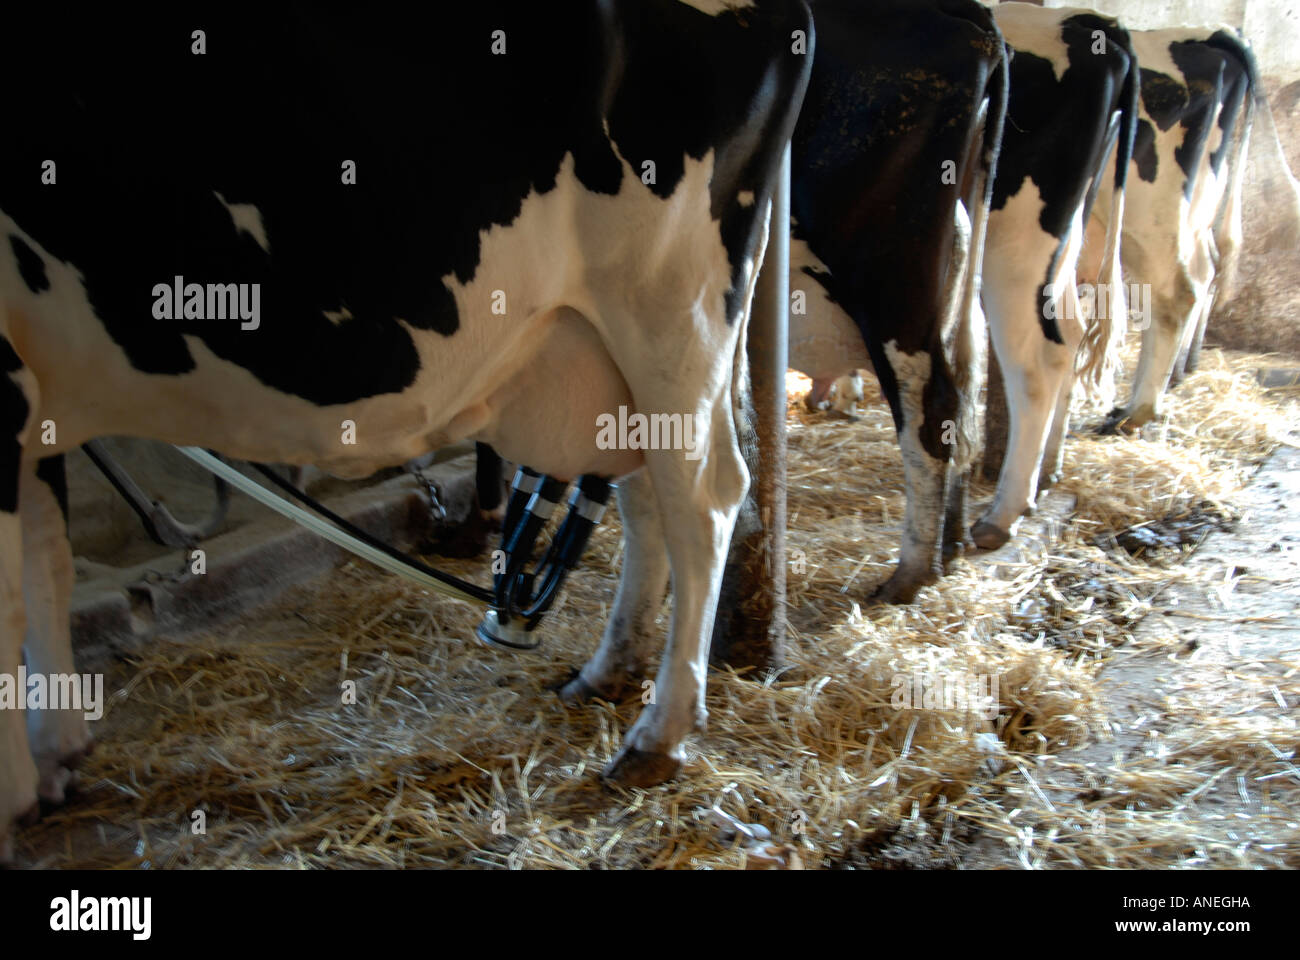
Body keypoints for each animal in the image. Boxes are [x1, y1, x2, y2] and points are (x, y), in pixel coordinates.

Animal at [0, 1, 814, 858]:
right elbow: (48, 562)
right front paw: (53, 758)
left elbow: (12, 592)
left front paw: (16, 788)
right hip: (618, 348)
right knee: (643, 494)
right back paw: (609, 671)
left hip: (670, 309)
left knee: (704, 504)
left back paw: (660, 735)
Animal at [970, 2, 1139, 549]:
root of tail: (1082, 23)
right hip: (1062, 240)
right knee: (1070, 330)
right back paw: (1046, 473)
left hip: (1013, 240)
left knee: (1038, 362)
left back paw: (1003, 513)